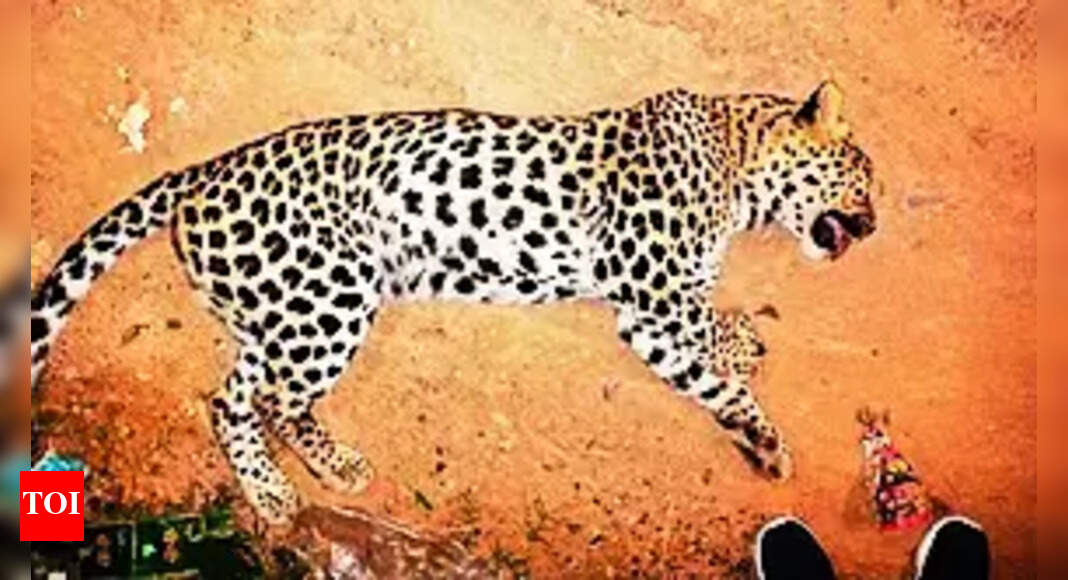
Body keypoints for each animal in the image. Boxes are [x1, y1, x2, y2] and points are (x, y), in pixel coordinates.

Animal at [30, 81, 877, 524]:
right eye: (863, 182)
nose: (870, 230)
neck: (738, 168)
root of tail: (206, 171)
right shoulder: (646, 290)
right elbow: (704, 334)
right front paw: (748, 365)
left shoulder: (654, 316)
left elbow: (711, 365)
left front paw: (757, 421)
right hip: (334, 296)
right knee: (264, 402)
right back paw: (310, 477)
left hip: (280, 308)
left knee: (234, 397)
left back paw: (293, 482)